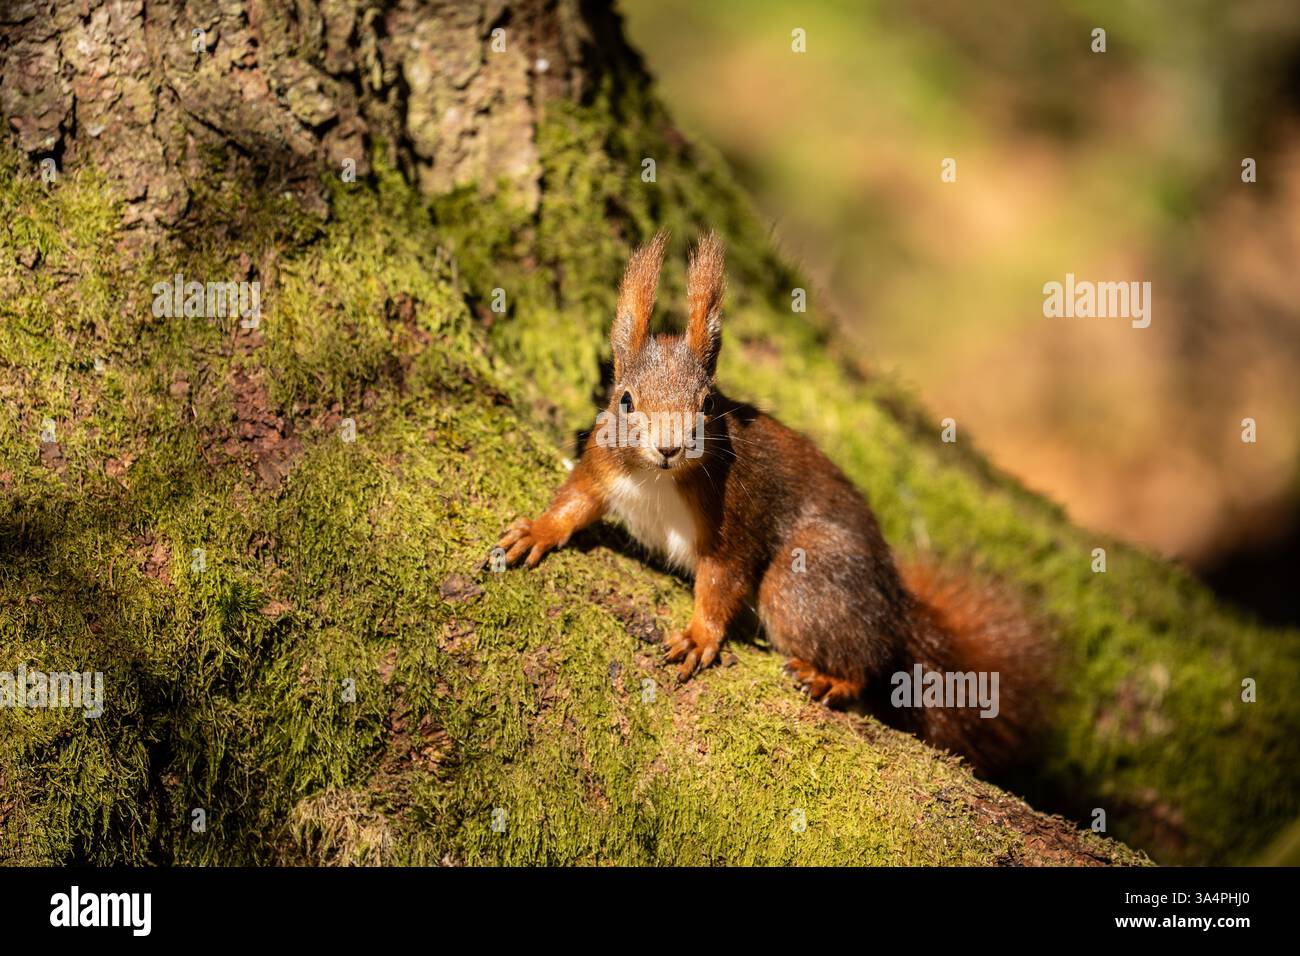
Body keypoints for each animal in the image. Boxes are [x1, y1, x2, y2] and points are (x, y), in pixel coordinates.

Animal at [496, 231, 1052, 775]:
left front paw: (699, 635)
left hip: (803, 580)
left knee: (864, 660)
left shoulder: (734, 514)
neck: (657, 479)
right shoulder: (603, 465)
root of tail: (896, 608)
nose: (669, 448)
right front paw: (536, 531)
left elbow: (723, 578)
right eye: (625, 400)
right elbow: (576, 499)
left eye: (708, 404)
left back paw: (833, 678)